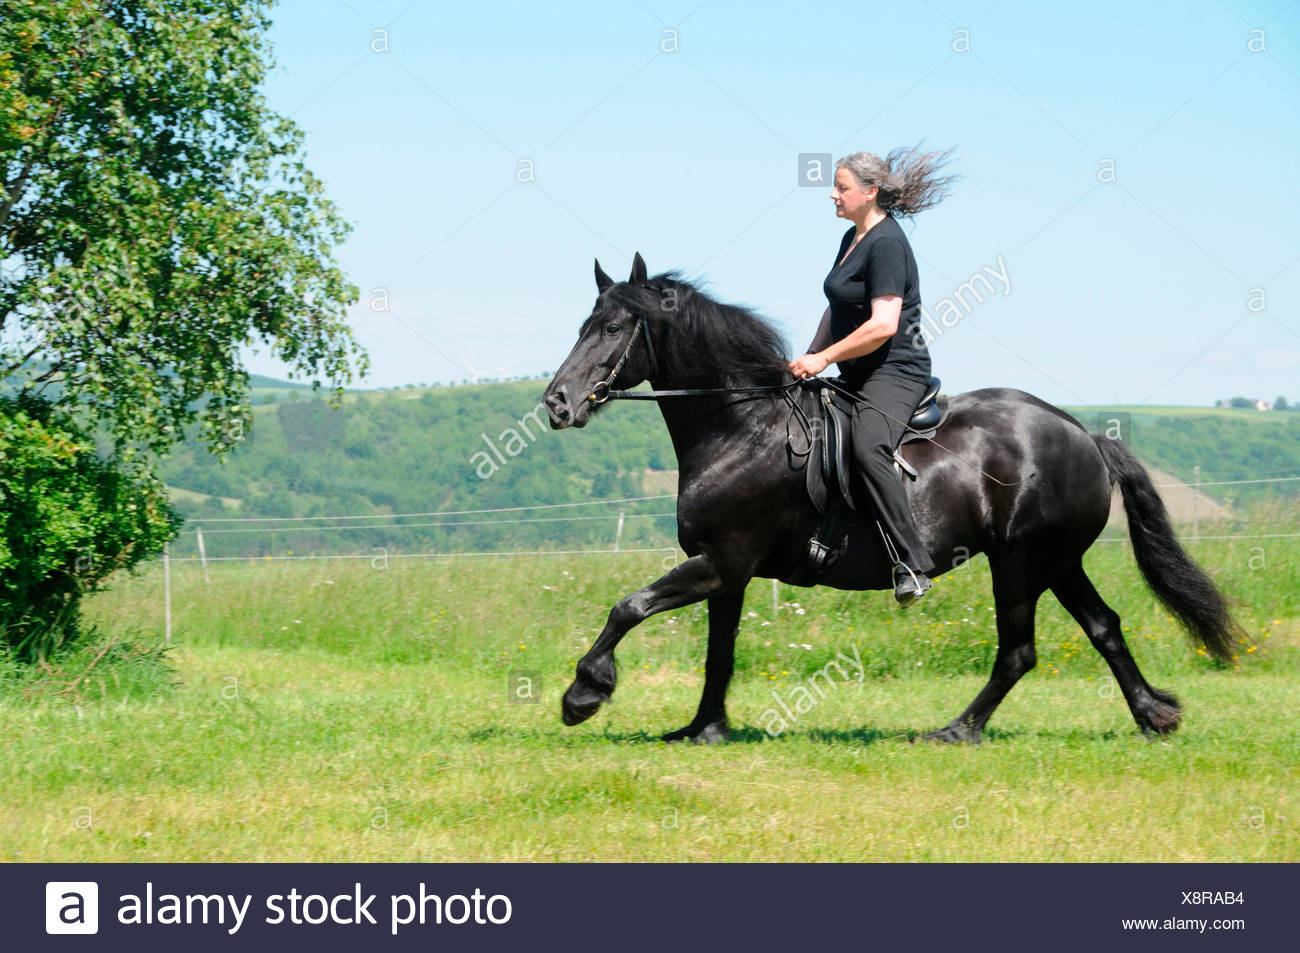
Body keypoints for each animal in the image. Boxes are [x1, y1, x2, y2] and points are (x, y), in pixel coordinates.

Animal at [542, 253, 1243, 744]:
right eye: (582, 325)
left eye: (612, 328)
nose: (556, 404)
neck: (740, 428)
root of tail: (1085, 436)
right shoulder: (729, 574)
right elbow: (720, 655)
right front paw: (703, 729)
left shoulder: (719, 563)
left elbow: (628, 607)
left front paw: (584, 695)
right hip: (1056, 561)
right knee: (1104, 628)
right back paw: (1154, 715)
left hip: (1020, 563)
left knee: (1019, 650)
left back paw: (957, 731)